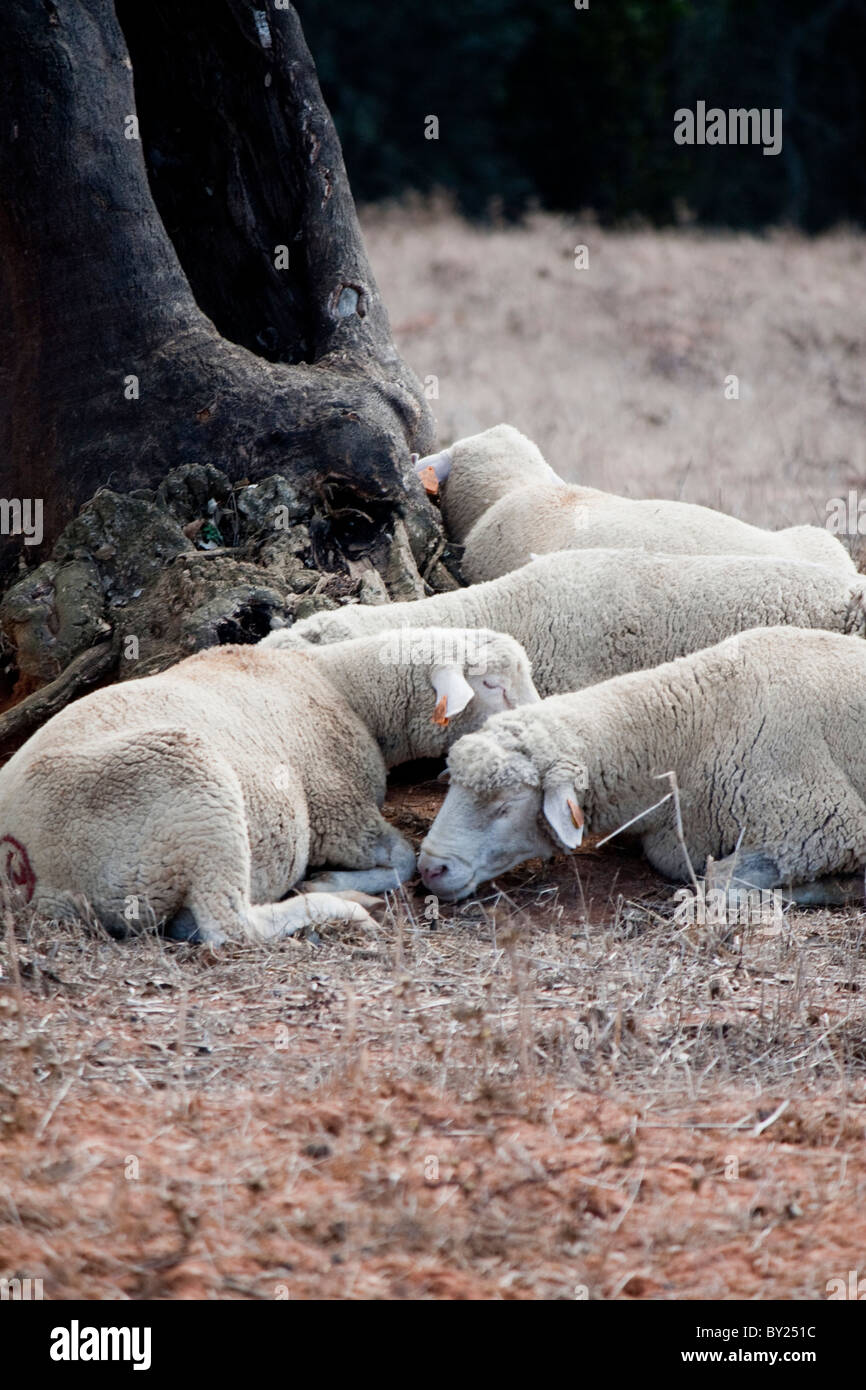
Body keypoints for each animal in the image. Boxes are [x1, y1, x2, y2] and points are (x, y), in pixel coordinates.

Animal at [0, 631, 542, 945]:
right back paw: (340, 908)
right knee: (229, 928)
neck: (342, 687)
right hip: (192, 788)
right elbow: (405, 858)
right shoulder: (336, 811)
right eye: (493, 684)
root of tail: (17, 861)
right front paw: (330, 881)